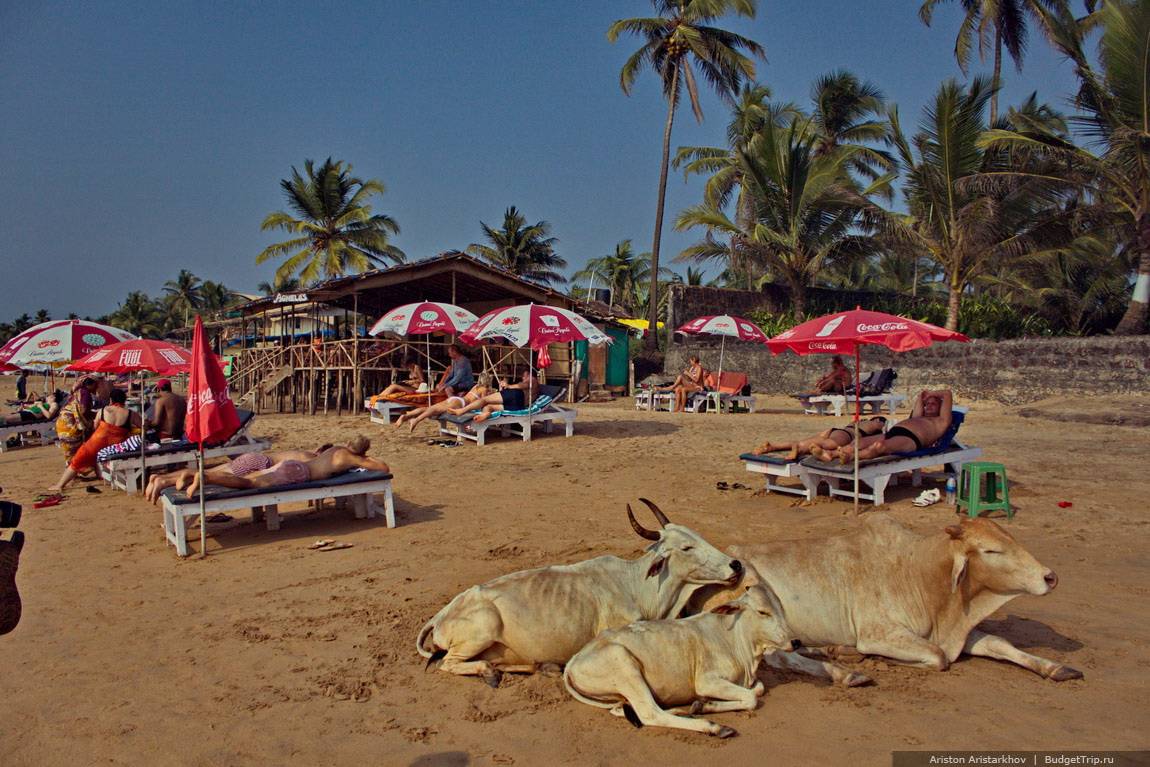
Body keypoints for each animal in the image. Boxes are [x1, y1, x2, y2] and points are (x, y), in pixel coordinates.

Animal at [416, 501, 745, 685]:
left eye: (697, 537)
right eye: (686, 547)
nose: (736, 565)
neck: (636, 586)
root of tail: (441, 615)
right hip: (482, 629)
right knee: (449, 663)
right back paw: (490, 671)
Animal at [561, 584, 795, 740]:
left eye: (781, 608)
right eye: (763, 612)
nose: (796, 641)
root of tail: (575, 659)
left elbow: (758, 689)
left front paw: (704, 704)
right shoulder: (707, 681)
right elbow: (752, 698)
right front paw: (705, 705)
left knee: (623, 710)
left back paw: (687, 709)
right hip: (624, 664)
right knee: (650, 714)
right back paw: (714, 727)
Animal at [694, 515, 1081, 685]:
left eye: (1010, 538)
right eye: (990, 550)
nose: (1050, 577)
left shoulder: (956, 632)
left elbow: (1000, 643)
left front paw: (1055, 667)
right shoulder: (879, 634)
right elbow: (938, 658)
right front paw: (868, 657)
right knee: (780, 657)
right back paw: (845, 669)